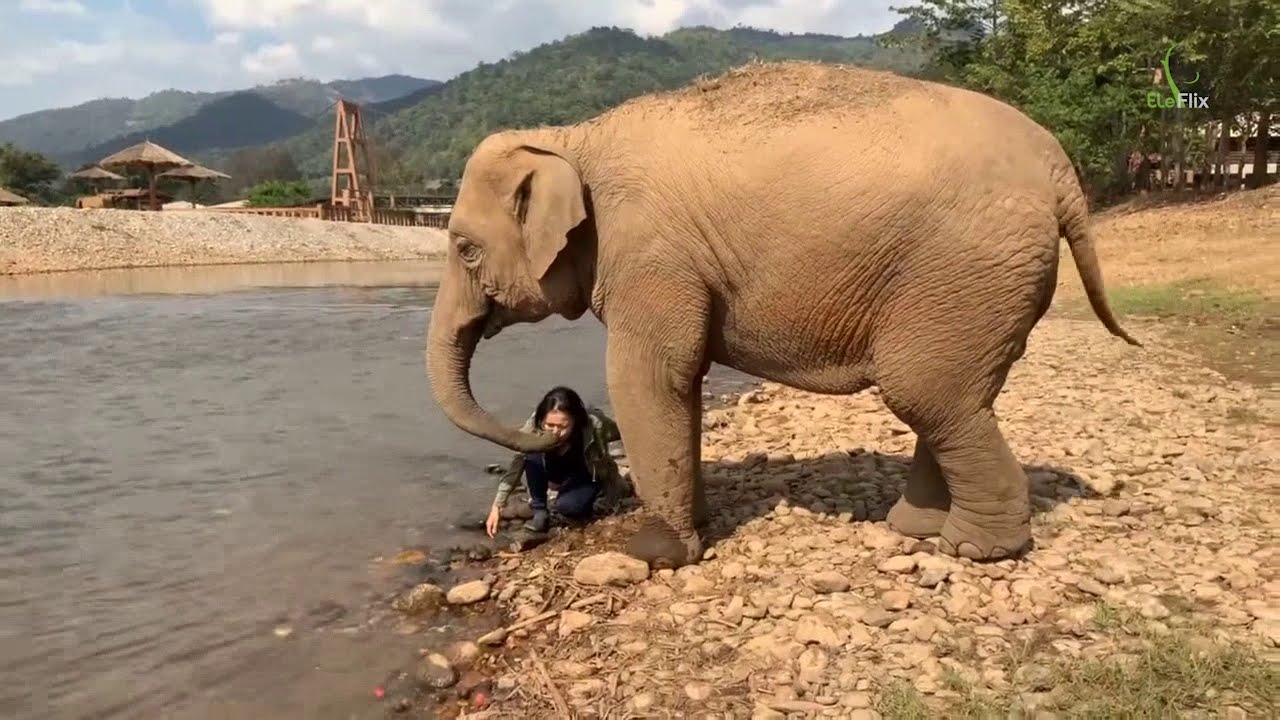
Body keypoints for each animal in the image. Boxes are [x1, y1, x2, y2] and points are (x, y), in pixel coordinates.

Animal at [424, 61, 1141, 570]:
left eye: (463, 248)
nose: (552, 432)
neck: (572, 135)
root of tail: (1059, 167)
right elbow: (682, 382)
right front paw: (693, 532)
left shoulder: (650, 253)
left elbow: (650, 377)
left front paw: (655, 558)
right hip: (987, 287)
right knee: (957, 399)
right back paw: (918, 529)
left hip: (967, 271)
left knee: (928, 394)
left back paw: (973, 551)